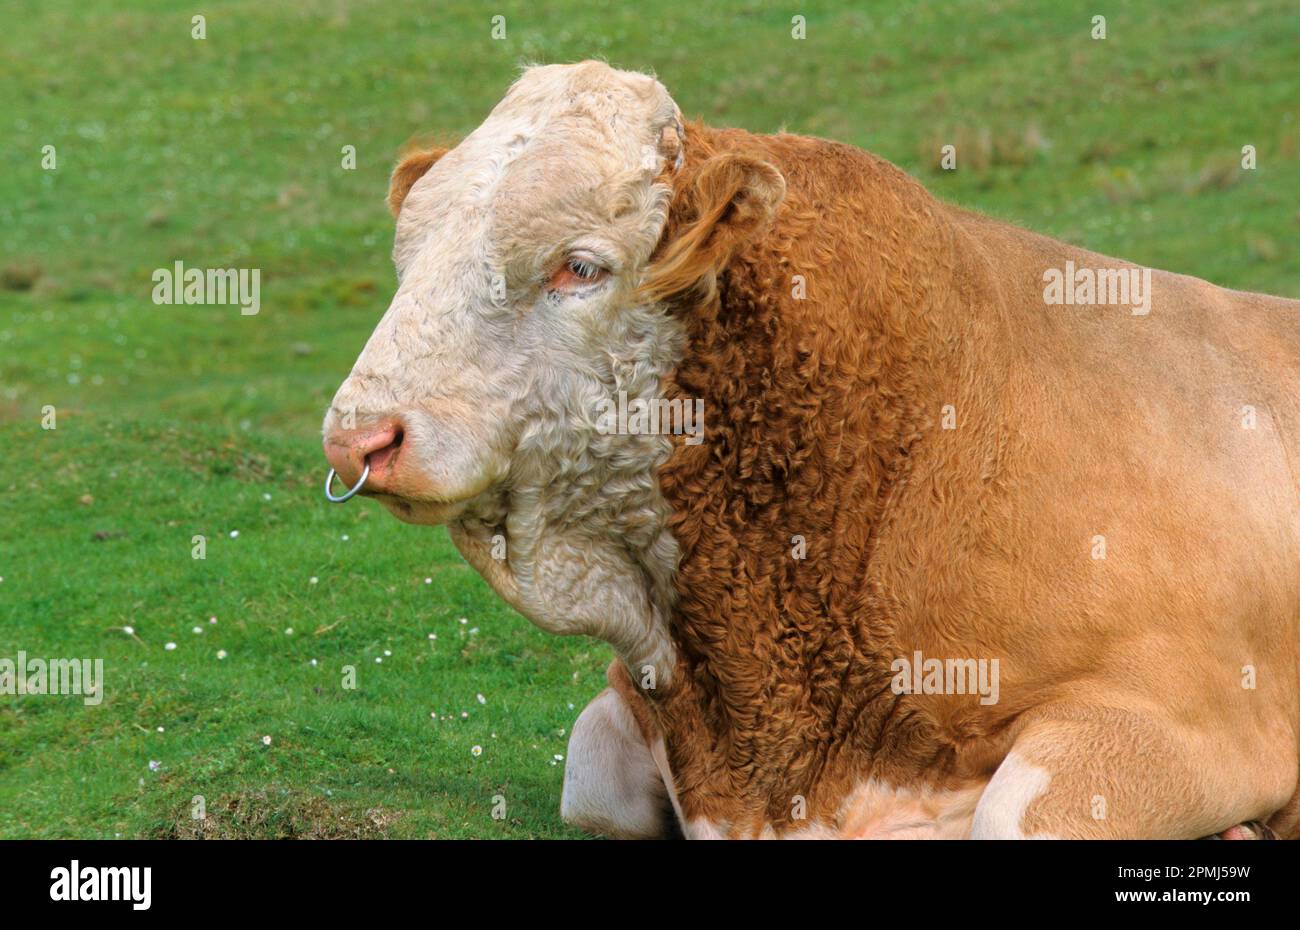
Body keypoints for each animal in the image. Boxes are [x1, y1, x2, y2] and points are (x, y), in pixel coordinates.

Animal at [322, 61, 1300, 839]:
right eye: (409, 258)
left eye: (581, 266)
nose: (358, 437)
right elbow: (591, 774)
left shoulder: (1187, 713)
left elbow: (1016, 811)